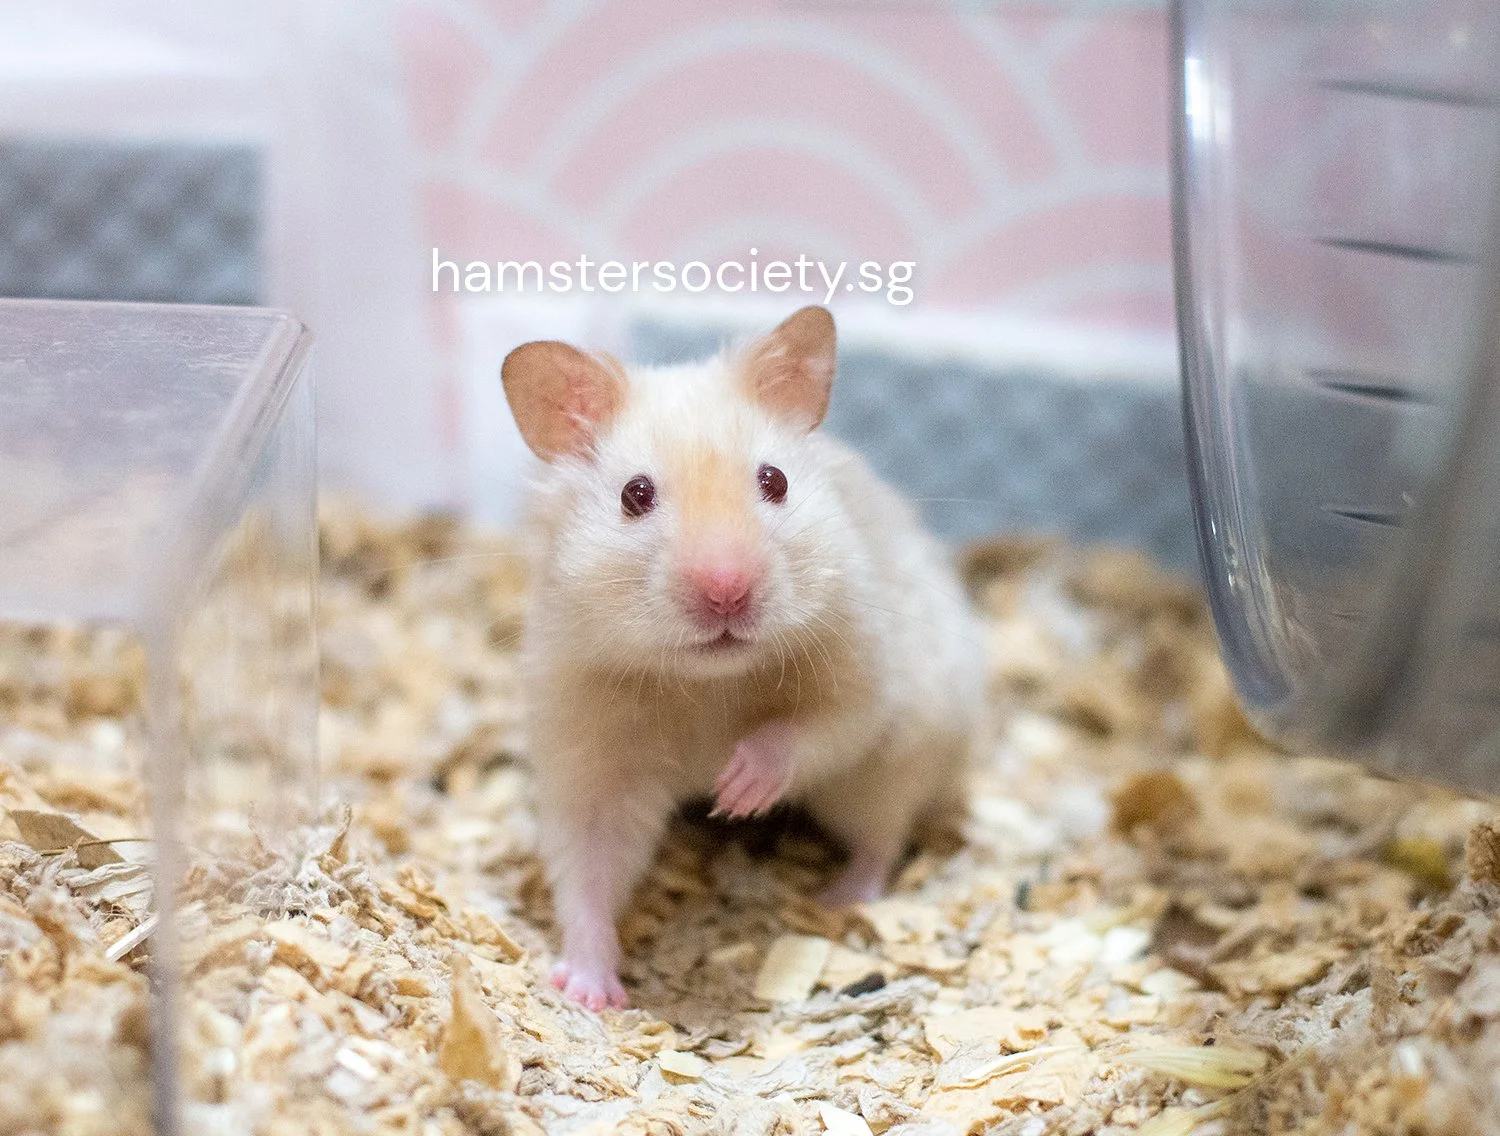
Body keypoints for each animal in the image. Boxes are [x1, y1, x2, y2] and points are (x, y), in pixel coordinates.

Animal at [501, 306, 986, 1009]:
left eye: (774, 481)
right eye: (635, 494)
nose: (727, 589)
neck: (708, 681)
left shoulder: (863, 671)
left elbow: (815, 730)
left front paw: (735, 792)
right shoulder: (588, 751)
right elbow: (589, 872)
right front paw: (591, 992)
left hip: (894, 766)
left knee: (882, 837)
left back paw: (835, 899)